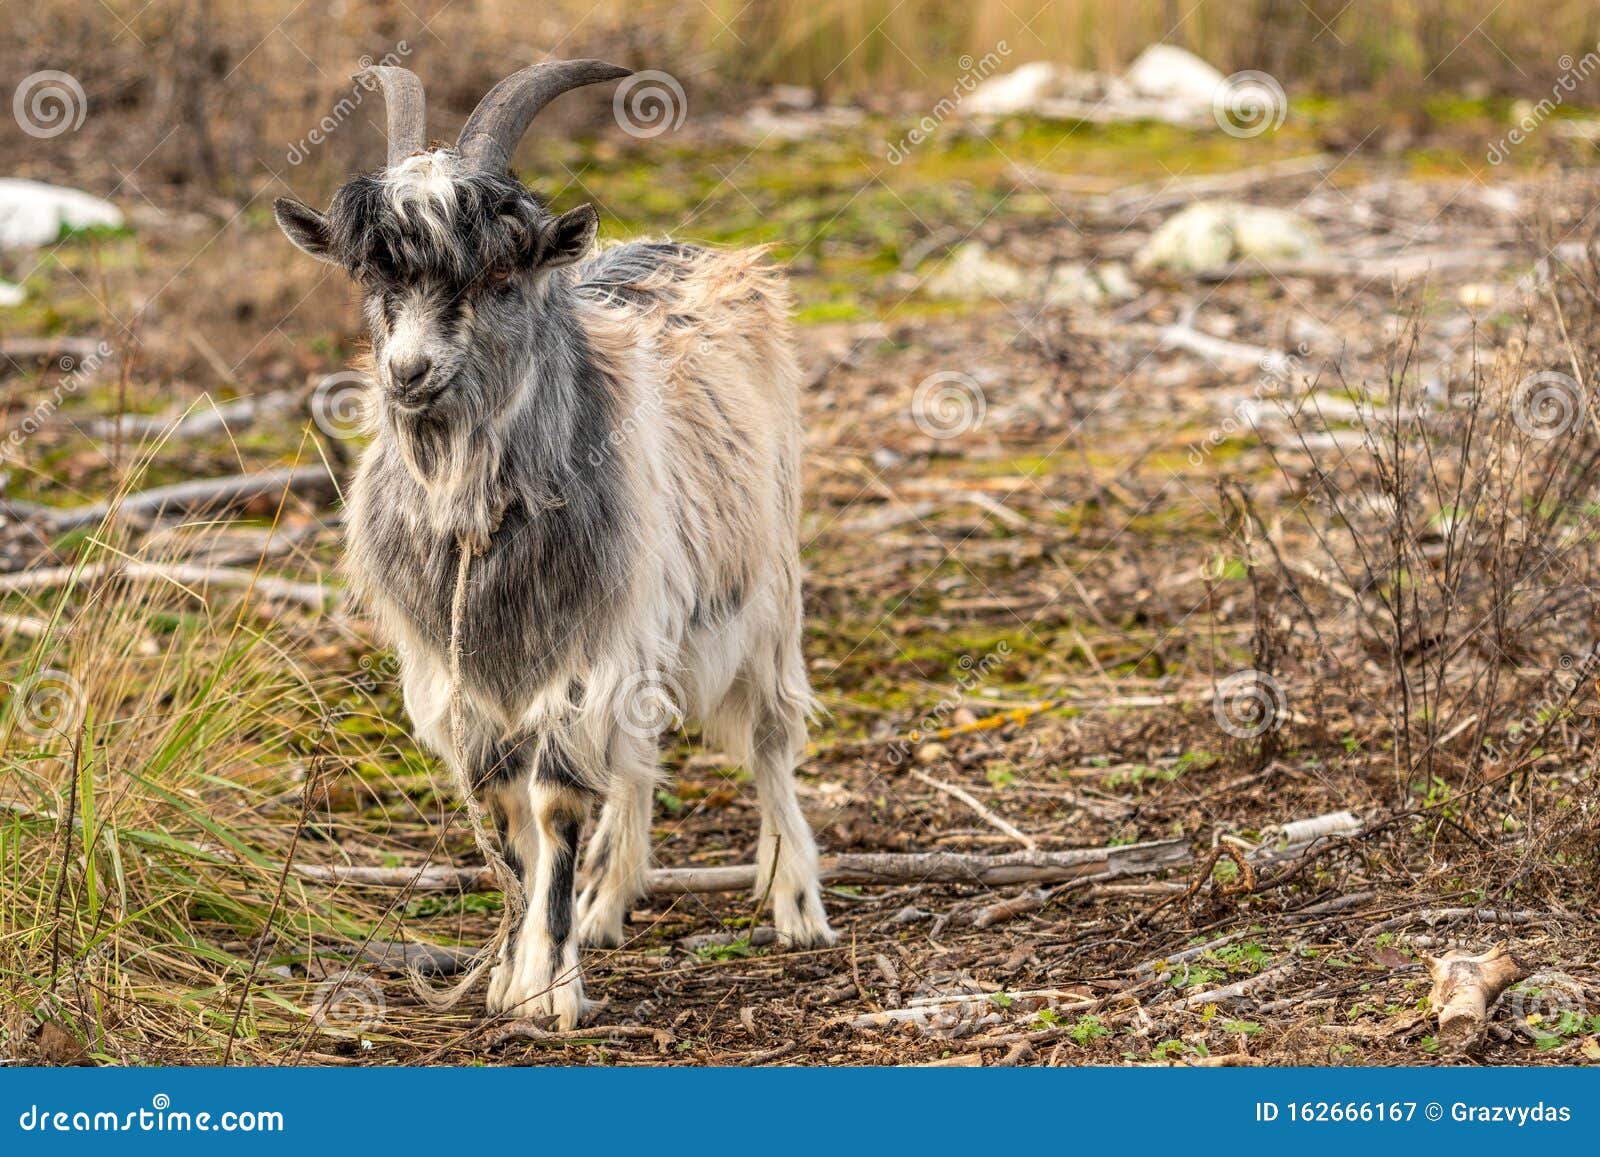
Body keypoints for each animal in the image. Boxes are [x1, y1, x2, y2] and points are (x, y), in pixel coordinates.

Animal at [274, 61, 835, 1027]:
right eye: (369, 274)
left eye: (503, 272)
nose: (408, 373)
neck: (479, 515)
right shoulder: (466, 676)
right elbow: (508, 813)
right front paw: (511, 974)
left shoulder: (585, 656)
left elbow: (555, 805)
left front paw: (555, 989)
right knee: (639, 758)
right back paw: (612, 898)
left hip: (763, 590)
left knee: (769, 737)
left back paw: (796, 902)